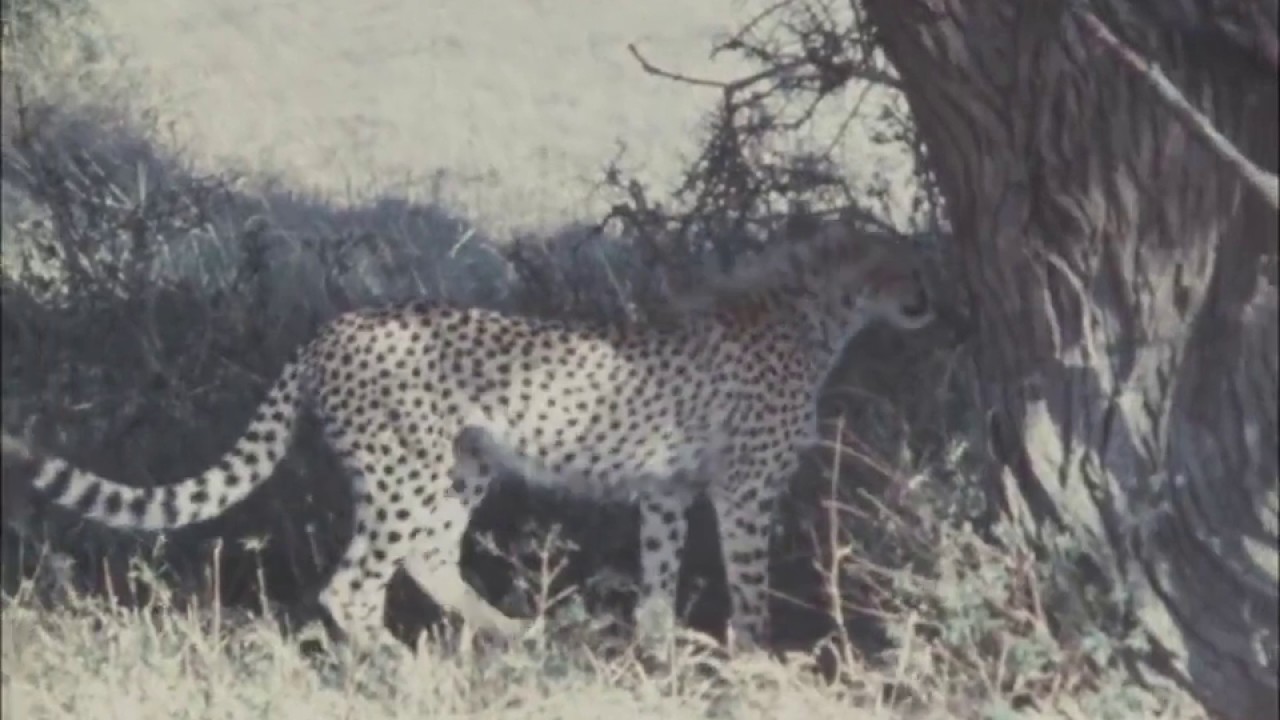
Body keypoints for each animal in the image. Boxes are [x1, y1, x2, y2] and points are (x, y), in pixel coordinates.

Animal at [1, 222, 935, 656]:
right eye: (905, 264)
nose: (931, 296)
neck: (819, 307)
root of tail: (335, 325)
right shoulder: (742, 490)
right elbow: (748, 582)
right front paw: (756, 656)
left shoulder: (669, 487)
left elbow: (661, 571)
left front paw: (658, 649)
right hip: (407, 470)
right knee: (354, 583)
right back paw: (400, 665)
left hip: (462, 466)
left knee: (426, 557)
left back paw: (513, 633)